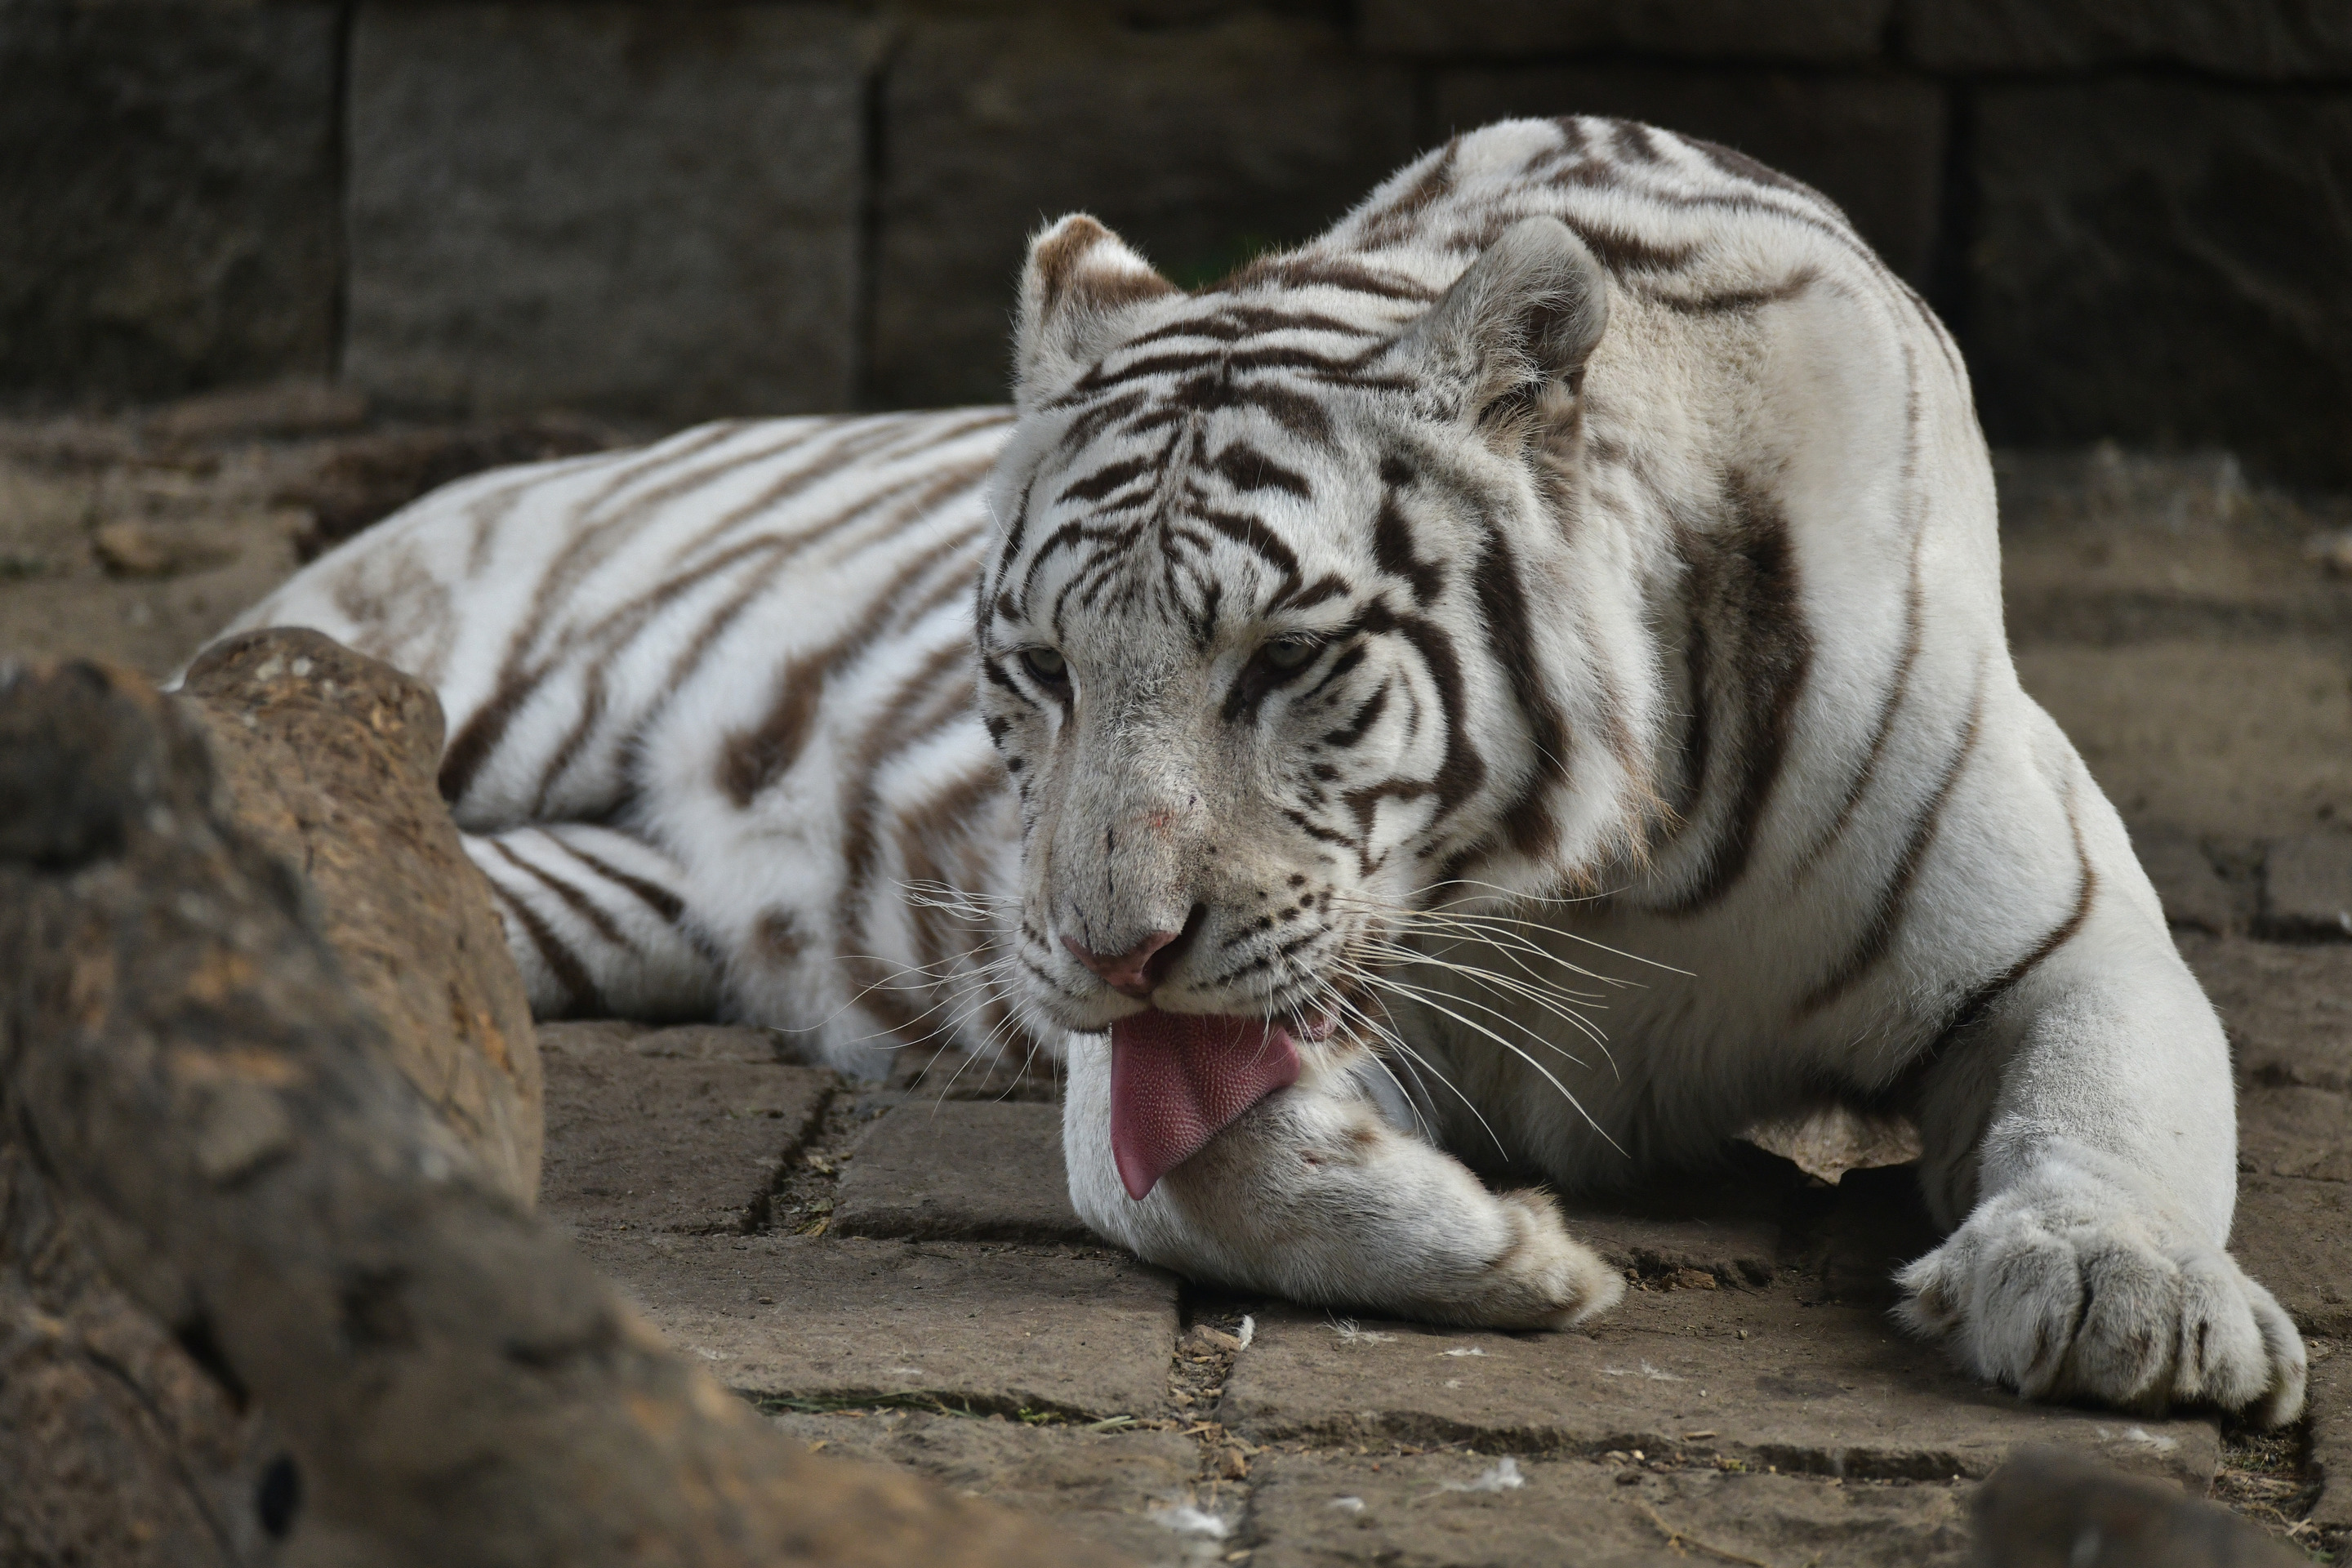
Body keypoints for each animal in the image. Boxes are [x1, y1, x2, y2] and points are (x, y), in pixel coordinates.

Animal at [214, 117, 2305, 1425]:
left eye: (1287, 661)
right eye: (1042, 668)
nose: (1101, 950)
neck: (1597, 885)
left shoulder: (2064, 941)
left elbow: (2120, 1114)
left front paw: (2117, 1299)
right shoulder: (1178, 1055)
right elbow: (1214, 1165)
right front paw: (1516, 1257)